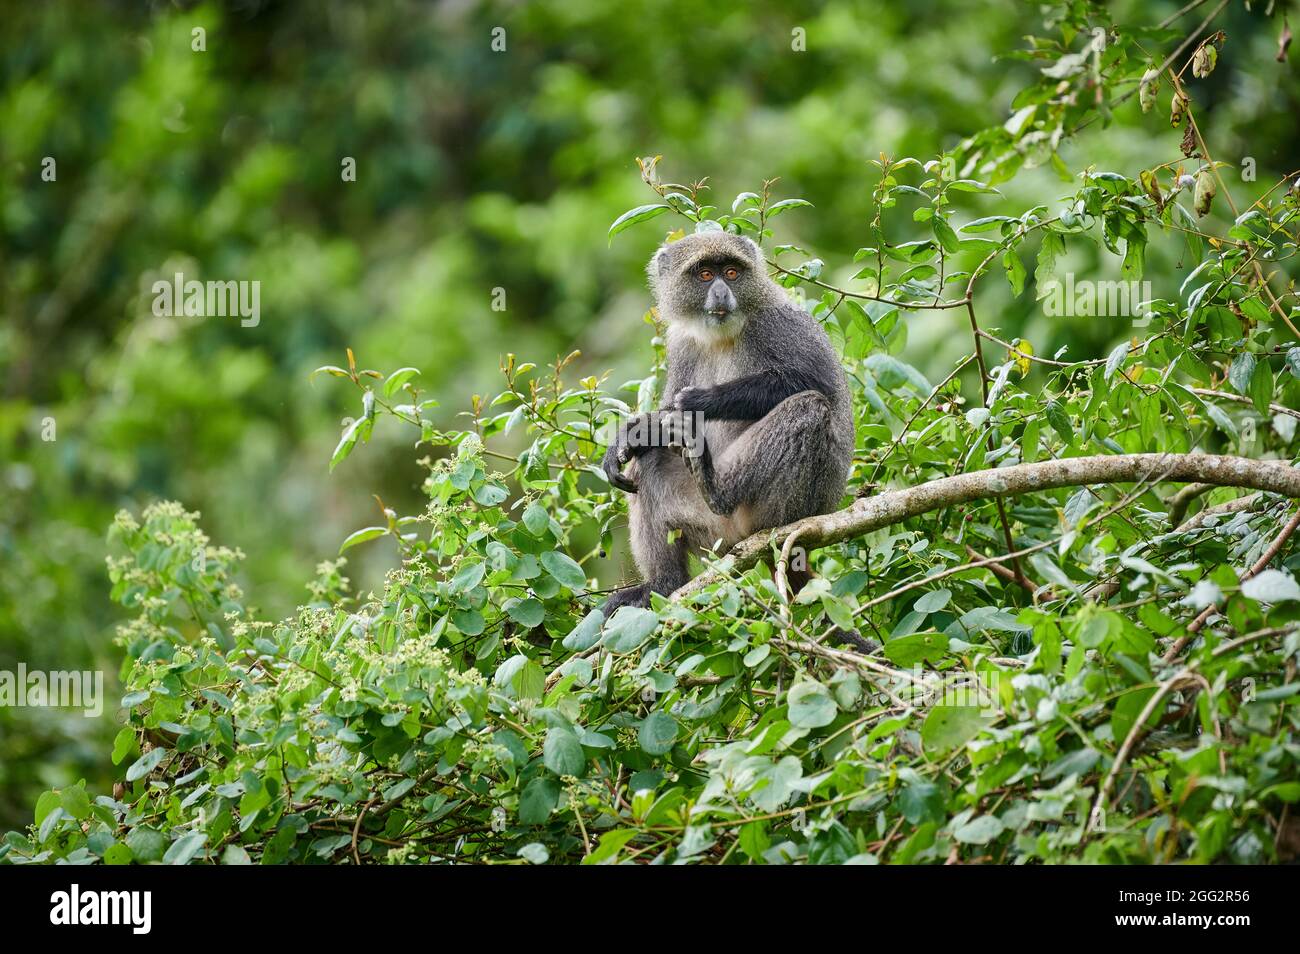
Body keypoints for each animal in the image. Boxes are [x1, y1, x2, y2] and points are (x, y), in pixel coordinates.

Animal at [600, 230, 854, 614]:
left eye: (732, 273)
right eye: (705, 274)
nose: (721, 292)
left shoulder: (781, 322)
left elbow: (815, 382)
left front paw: (699, 401)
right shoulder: (681, 342)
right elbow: (660, 421)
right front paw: (635, 432)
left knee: (809, 408)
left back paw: (717, 490)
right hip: (713, 534)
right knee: (651, 459)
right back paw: (662, 584)